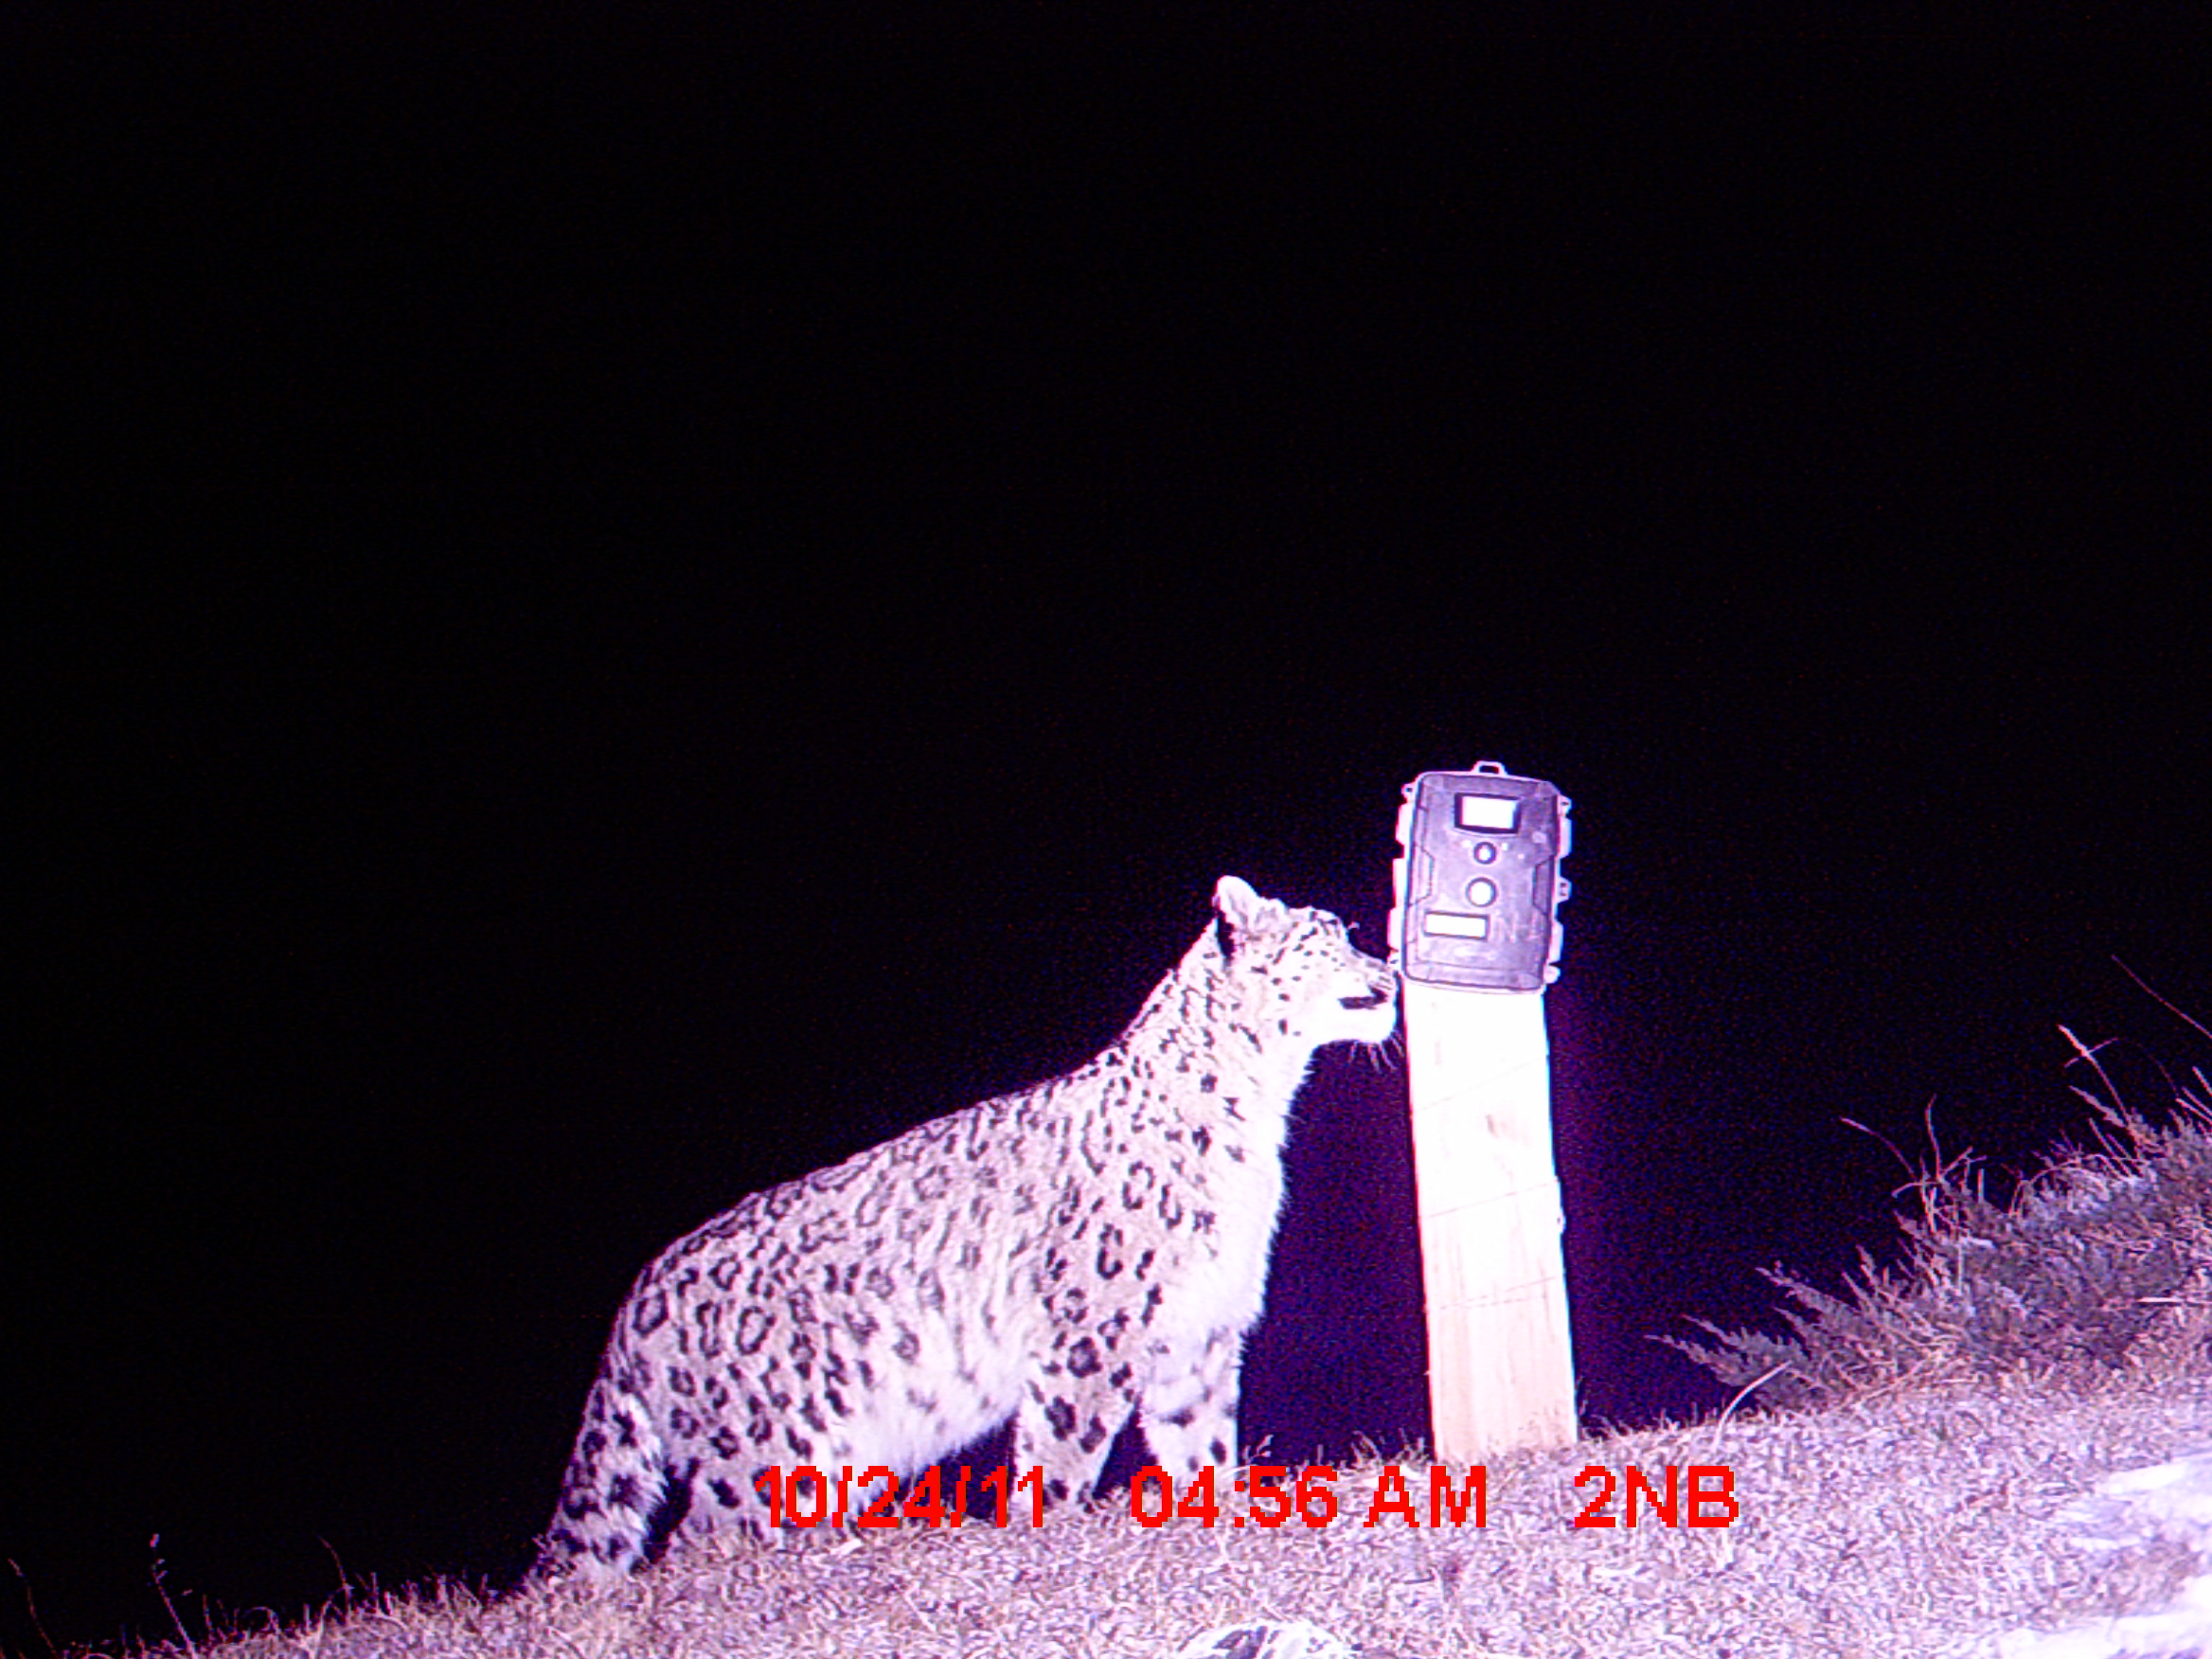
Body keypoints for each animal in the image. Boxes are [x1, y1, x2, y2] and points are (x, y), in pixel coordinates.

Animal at [539, 874, 1399, 1580]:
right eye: (1331, 933)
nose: (1389, 973)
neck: (1258, 1118)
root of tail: (636, 1299)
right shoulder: (1089, 1337)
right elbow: (1061, 1449)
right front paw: (1050, 1534)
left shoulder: (1201, 1333)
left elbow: (1202, 1442)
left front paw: (1222, 1511)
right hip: (765, 1451)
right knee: (699, 1544)